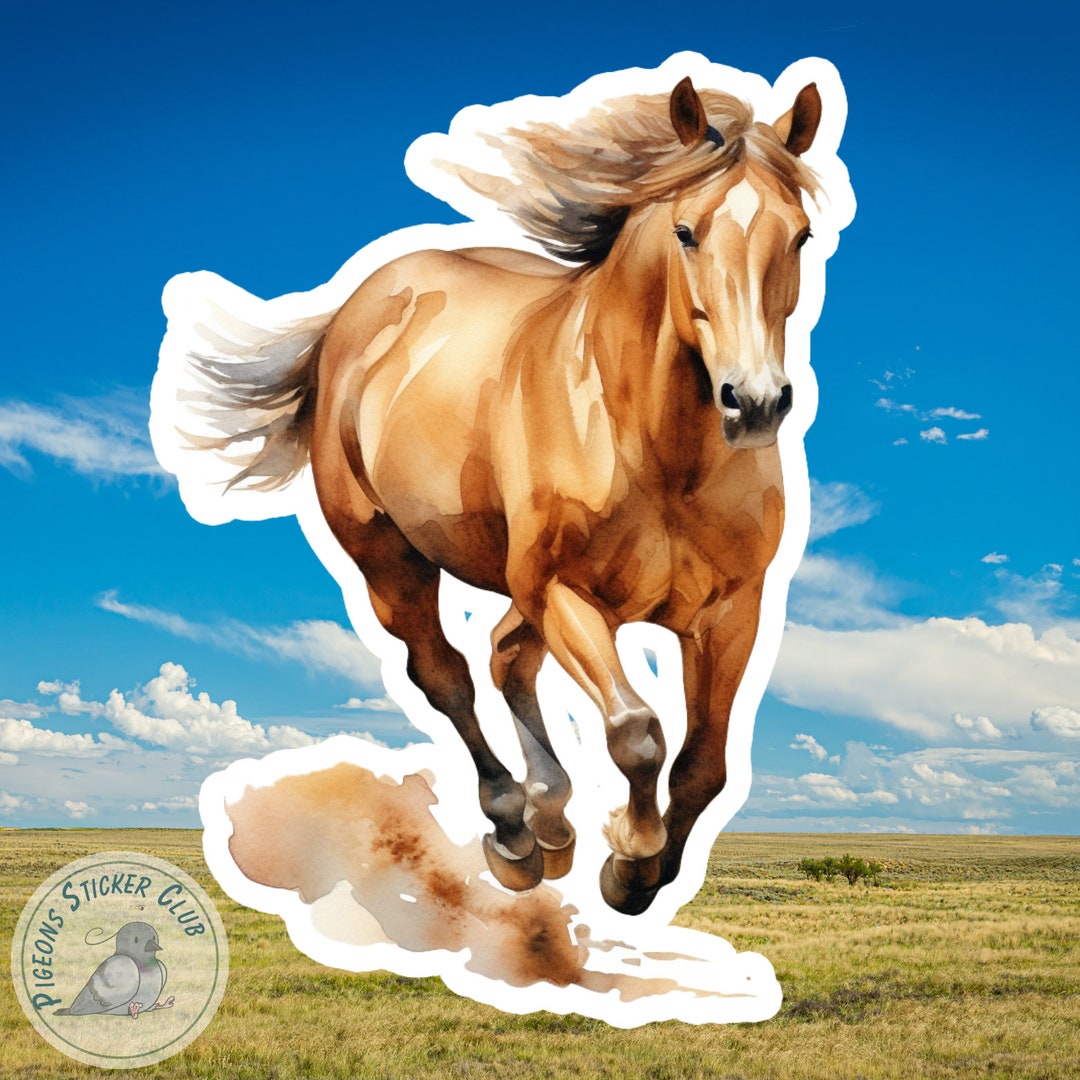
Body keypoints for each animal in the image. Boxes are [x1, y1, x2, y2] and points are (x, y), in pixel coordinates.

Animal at [163, 75, 824, 915]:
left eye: (801, 236)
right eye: (686, 232)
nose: (756, 402)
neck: (649, 443)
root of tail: (357, 307)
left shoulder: (732, 611)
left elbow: (705, 764)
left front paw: (641, 869)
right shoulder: (566, 593)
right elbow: (637, 733)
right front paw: (628, 860)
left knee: (506, 653)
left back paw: (553, 821)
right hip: (392, 563)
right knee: (447, 675)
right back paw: (515, 831)